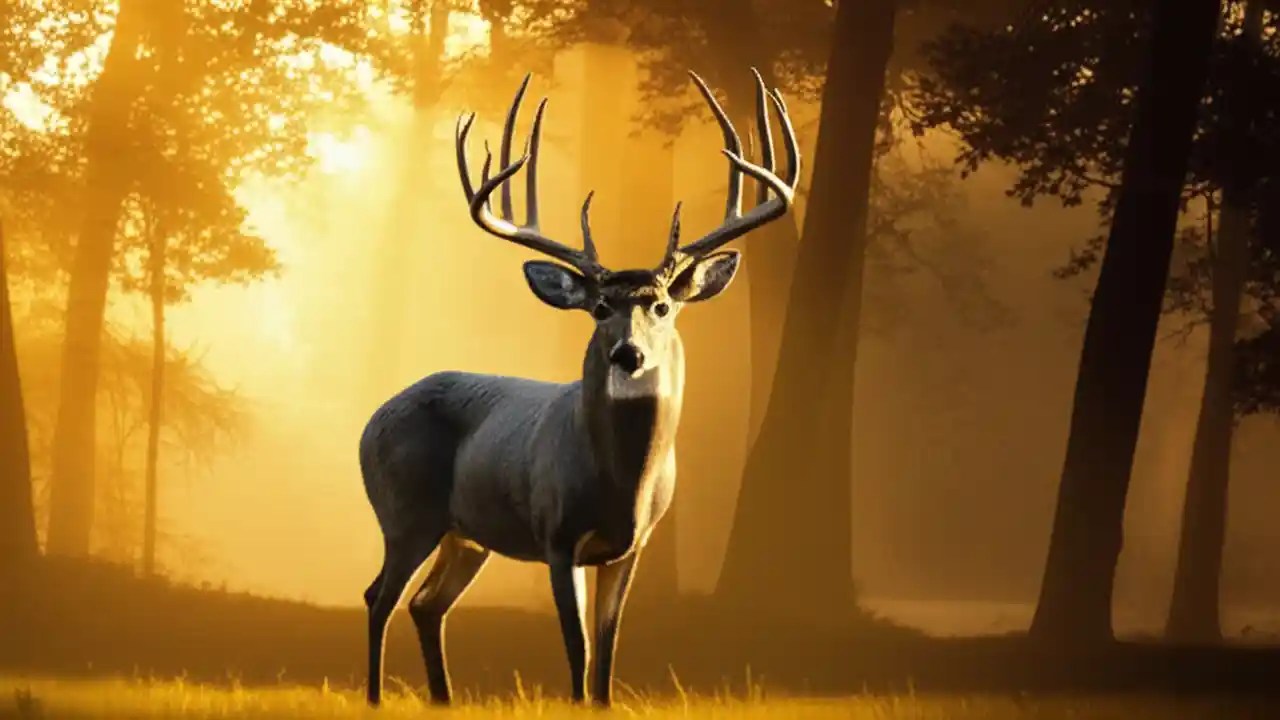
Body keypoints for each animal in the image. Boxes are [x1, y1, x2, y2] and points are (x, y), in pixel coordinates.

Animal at [359, 67, 800, 708]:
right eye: (598, 307)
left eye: (662, 305)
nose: (628, 353)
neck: (622, 484)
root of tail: (373, 418)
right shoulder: (557, 534)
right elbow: (577, 645)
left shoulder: (632, 545)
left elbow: (609, 649)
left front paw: (603, 702)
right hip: (404, 511)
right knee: (380, 597)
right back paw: (373, 697)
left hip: (466, 534)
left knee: (426, 604)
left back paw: (443, 699)